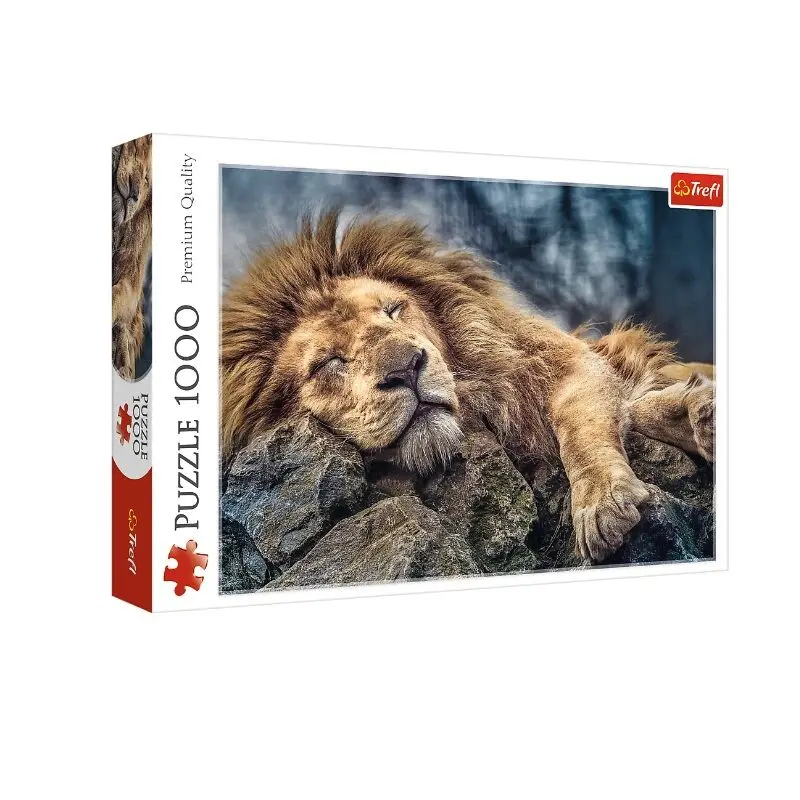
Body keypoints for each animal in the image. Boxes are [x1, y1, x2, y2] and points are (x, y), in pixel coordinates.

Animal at [221, 212, 714, 563]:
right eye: (328, 363)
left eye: (393, 310)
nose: (407, 368)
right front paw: (693, 413)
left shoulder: (566, 362)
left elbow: (582, 427)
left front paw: (603, 501)